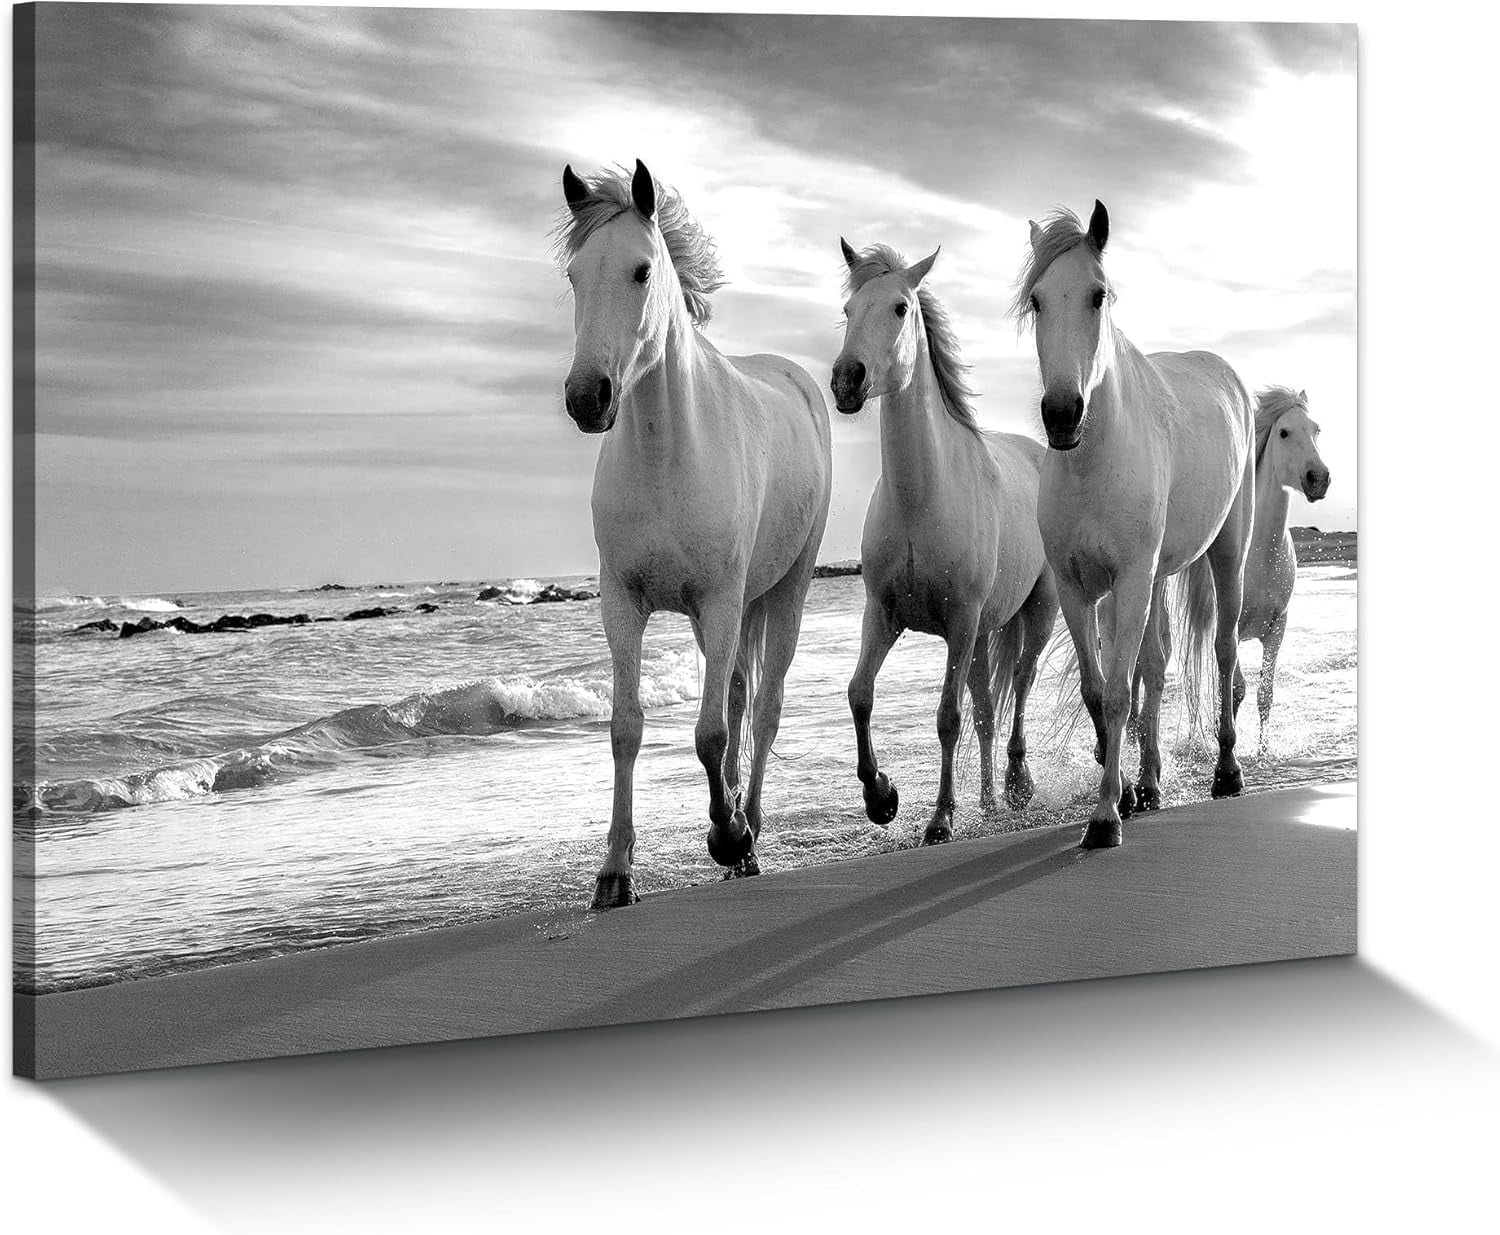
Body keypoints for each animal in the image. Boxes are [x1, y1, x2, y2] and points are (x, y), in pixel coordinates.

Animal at [556, 160, 832, 909]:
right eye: (575, 275)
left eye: (642, 270)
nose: (587, 397)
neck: (665, 455)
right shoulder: (622, 604)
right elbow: (626, 728)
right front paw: (615, 871)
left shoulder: (720, 599)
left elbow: (710, 733)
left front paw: (729, 834)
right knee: (737, 696)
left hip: (783, 593)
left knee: (762, 709)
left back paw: (749, 830)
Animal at [831, 240, 1057, 846]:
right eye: (848, 310)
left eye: (900, 308)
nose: (847, 379)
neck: (921, 498)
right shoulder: (882, 613)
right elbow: (860, 694)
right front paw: (881, 796)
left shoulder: (959, 621)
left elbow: (947, 717)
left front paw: (940, 818)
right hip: (981, 636)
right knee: (987, 707)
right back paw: (989, 799)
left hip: (1036, 613)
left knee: (1020, 685)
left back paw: (1018, 785)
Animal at [1014, 202, 1255, 849]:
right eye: (1037, 301)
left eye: (1097, 296)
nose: (1061, 414)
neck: (1093, 463)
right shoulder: (1079, 588)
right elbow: (1100, 689)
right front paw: (1119, 786)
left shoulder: (1129, 579)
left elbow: (1121, 690)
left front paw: (1104, 818)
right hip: (1153, 578)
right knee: (1155, 664)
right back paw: (1148, 783)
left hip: (1224, 553)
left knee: (1223, 649)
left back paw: (1227, 770)